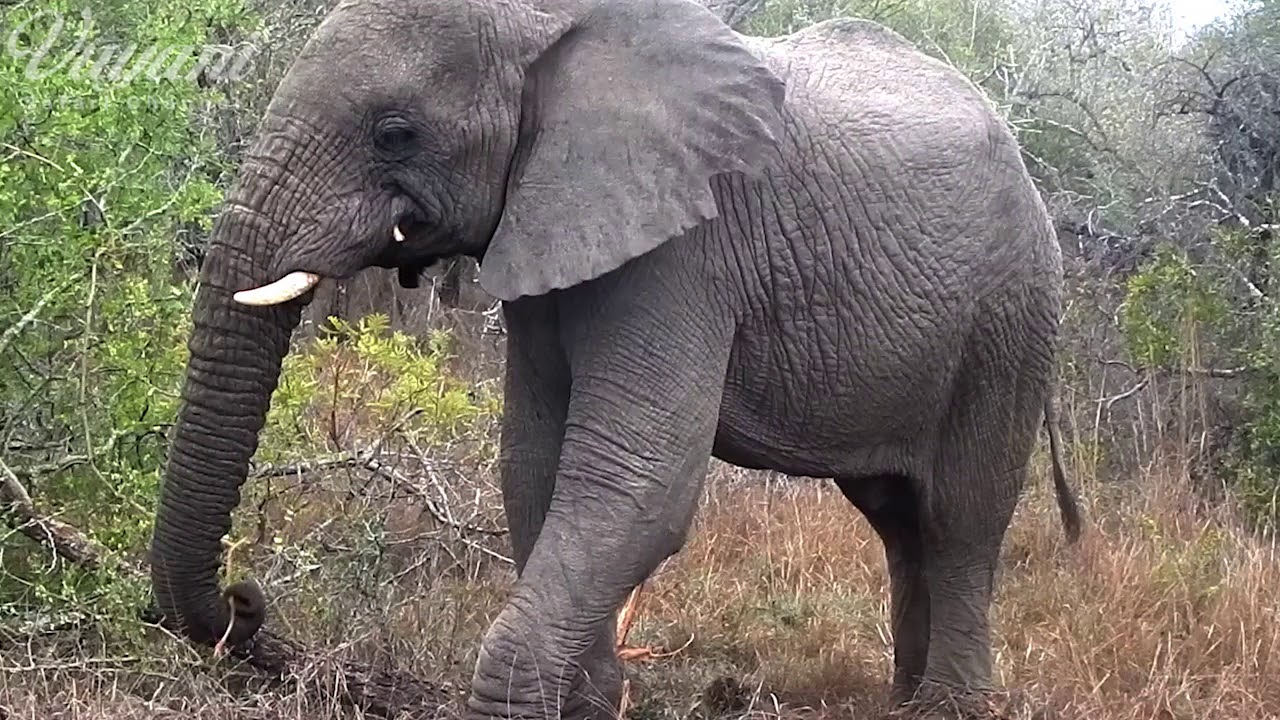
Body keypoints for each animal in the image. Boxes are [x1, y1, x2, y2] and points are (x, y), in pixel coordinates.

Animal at [146, 0, 1083, 718]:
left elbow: (636, 481)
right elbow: (534, 466)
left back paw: (947, 708)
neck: (547, 27)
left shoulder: (688, 250)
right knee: (898, 519)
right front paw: (593, 701)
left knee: (959, 516)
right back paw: (903, 701)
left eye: (395, 133)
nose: (246, 599)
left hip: (1011, 313)